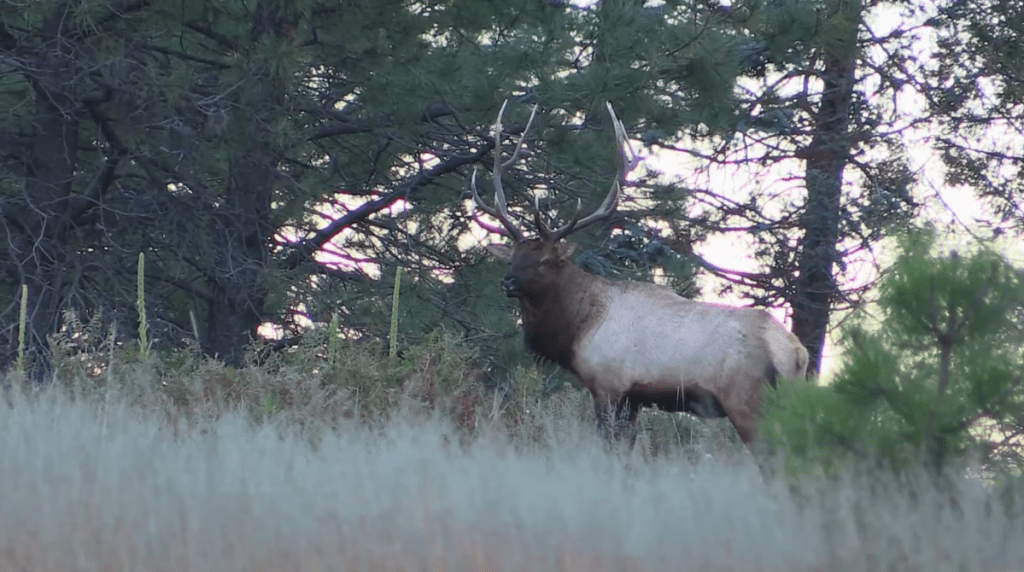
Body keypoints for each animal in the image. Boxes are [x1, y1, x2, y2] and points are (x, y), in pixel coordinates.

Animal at [471, 101, 809, 468]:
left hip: (748, 399)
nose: (508, 281)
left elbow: (608, 445)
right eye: (512, 258)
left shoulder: (609, 384)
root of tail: (797, 353)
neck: (578, 328)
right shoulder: (634, 397)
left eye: (545, 260)